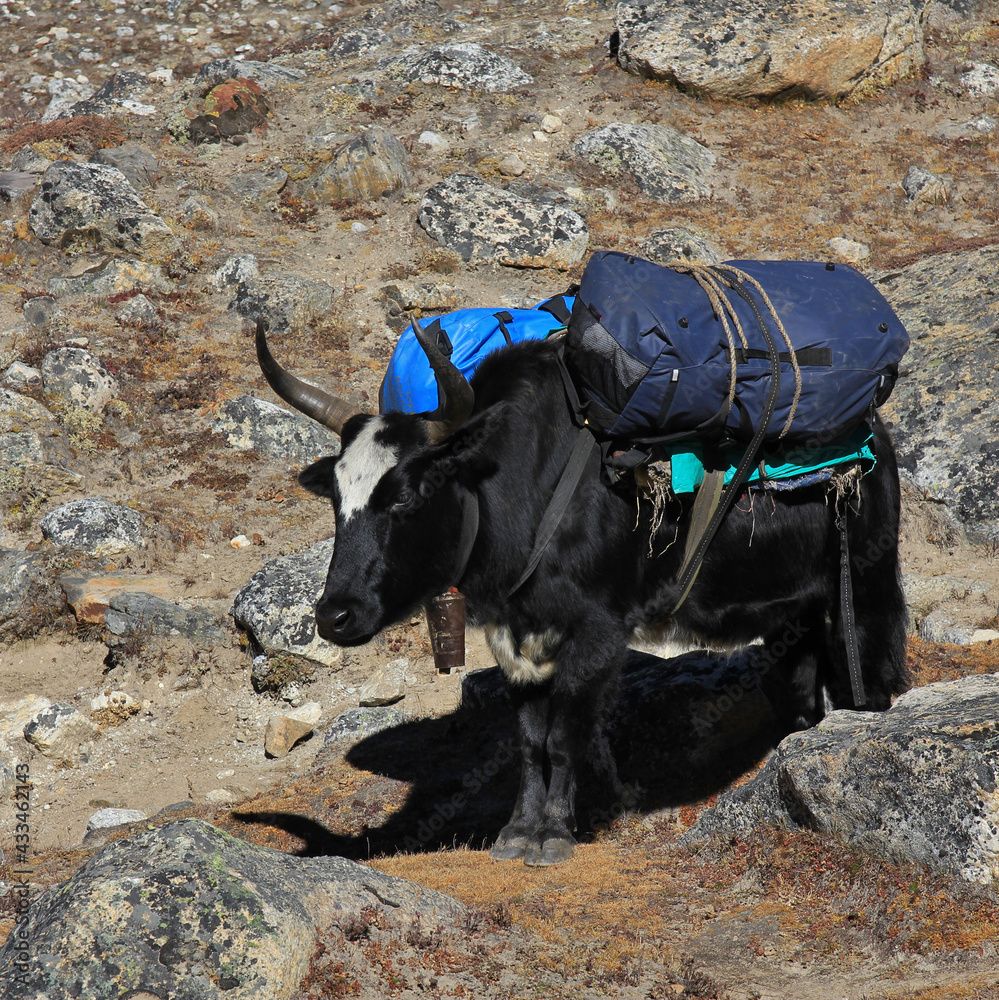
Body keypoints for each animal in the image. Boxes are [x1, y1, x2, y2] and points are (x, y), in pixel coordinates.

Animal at [255, 316, 908, 867]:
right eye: (336, 498)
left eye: (407, 495)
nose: (335, 616)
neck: (519, 488)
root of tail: (875, 433)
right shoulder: (513, 638)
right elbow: (528, 739)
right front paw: (516, 832)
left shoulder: (597, 630)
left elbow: (564, 733)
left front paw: (553, 837)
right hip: (789, 614)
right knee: (799, 686)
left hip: (864, 585)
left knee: (869, 674)